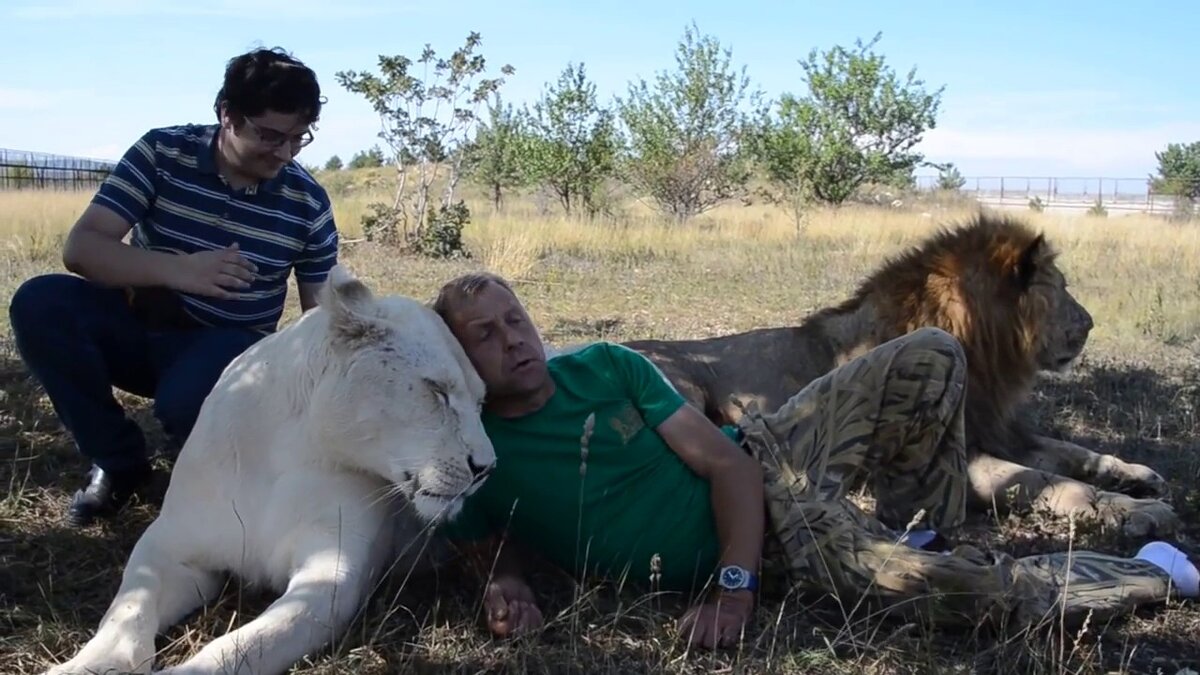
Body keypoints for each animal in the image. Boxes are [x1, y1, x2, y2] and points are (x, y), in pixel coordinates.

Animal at [609, 210, 1180, 535]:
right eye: (1060, 289)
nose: (1090, 324)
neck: (988, 355)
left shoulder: (1000, 428)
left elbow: (1073, 452)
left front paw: (1136, 475)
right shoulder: (960, 459)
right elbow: (1051, 481)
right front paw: (1138, 513)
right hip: (679, 383)